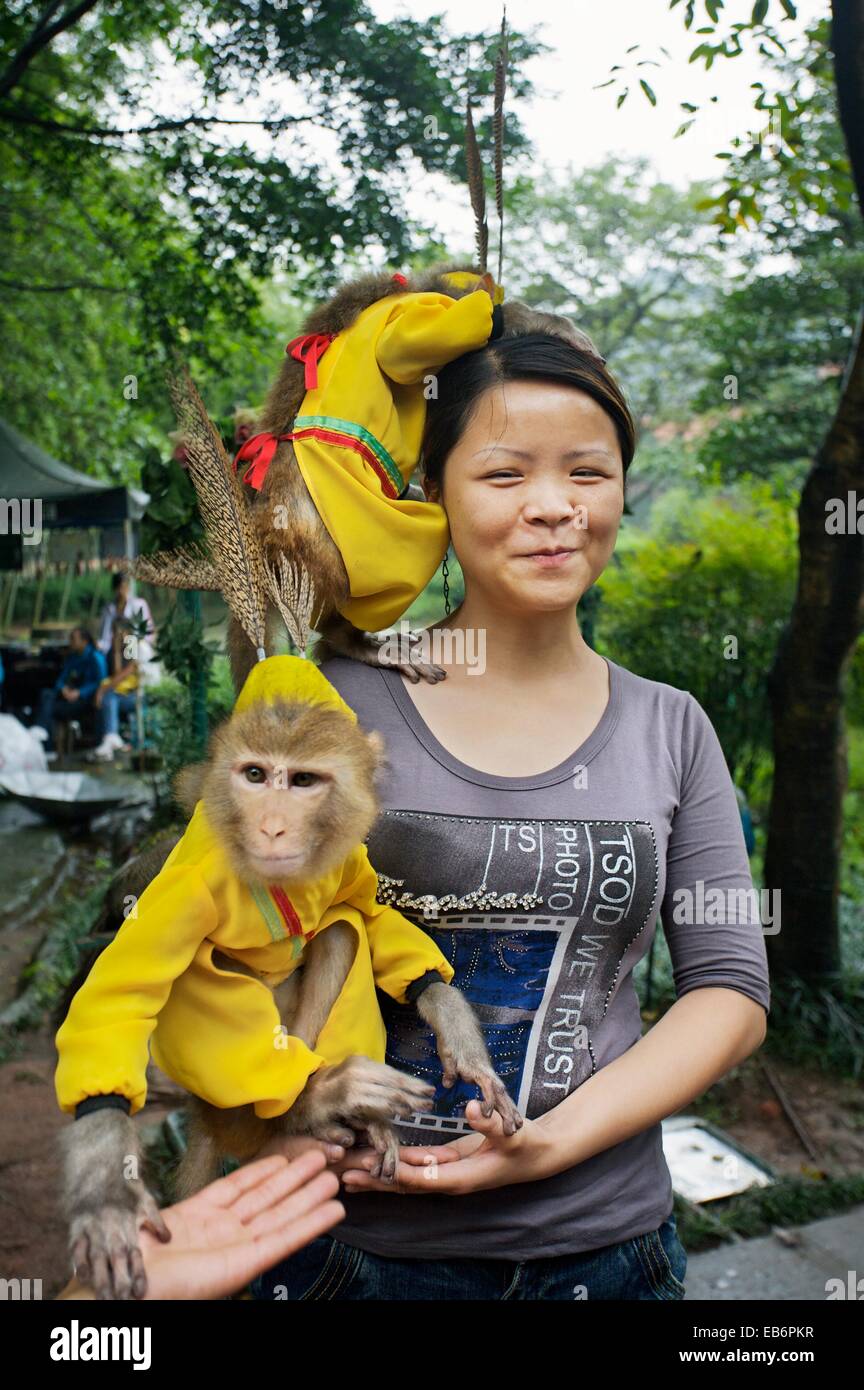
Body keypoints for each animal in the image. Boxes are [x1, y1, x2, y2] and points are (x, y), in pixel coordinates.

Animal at [56, 654, 522, 1300]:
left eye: (302, 782)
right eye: (256, 774)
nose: (272, 826)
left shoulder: (346, 859)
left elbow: (370, 916)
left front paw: (453, 1024)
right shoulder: (185, 884)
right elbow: (119, 993)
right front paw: (105, 1192)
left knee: (339, 928)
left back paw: (339, 1112)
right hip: (223, 1099)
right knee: (210, 967)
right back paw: (311, 1102)